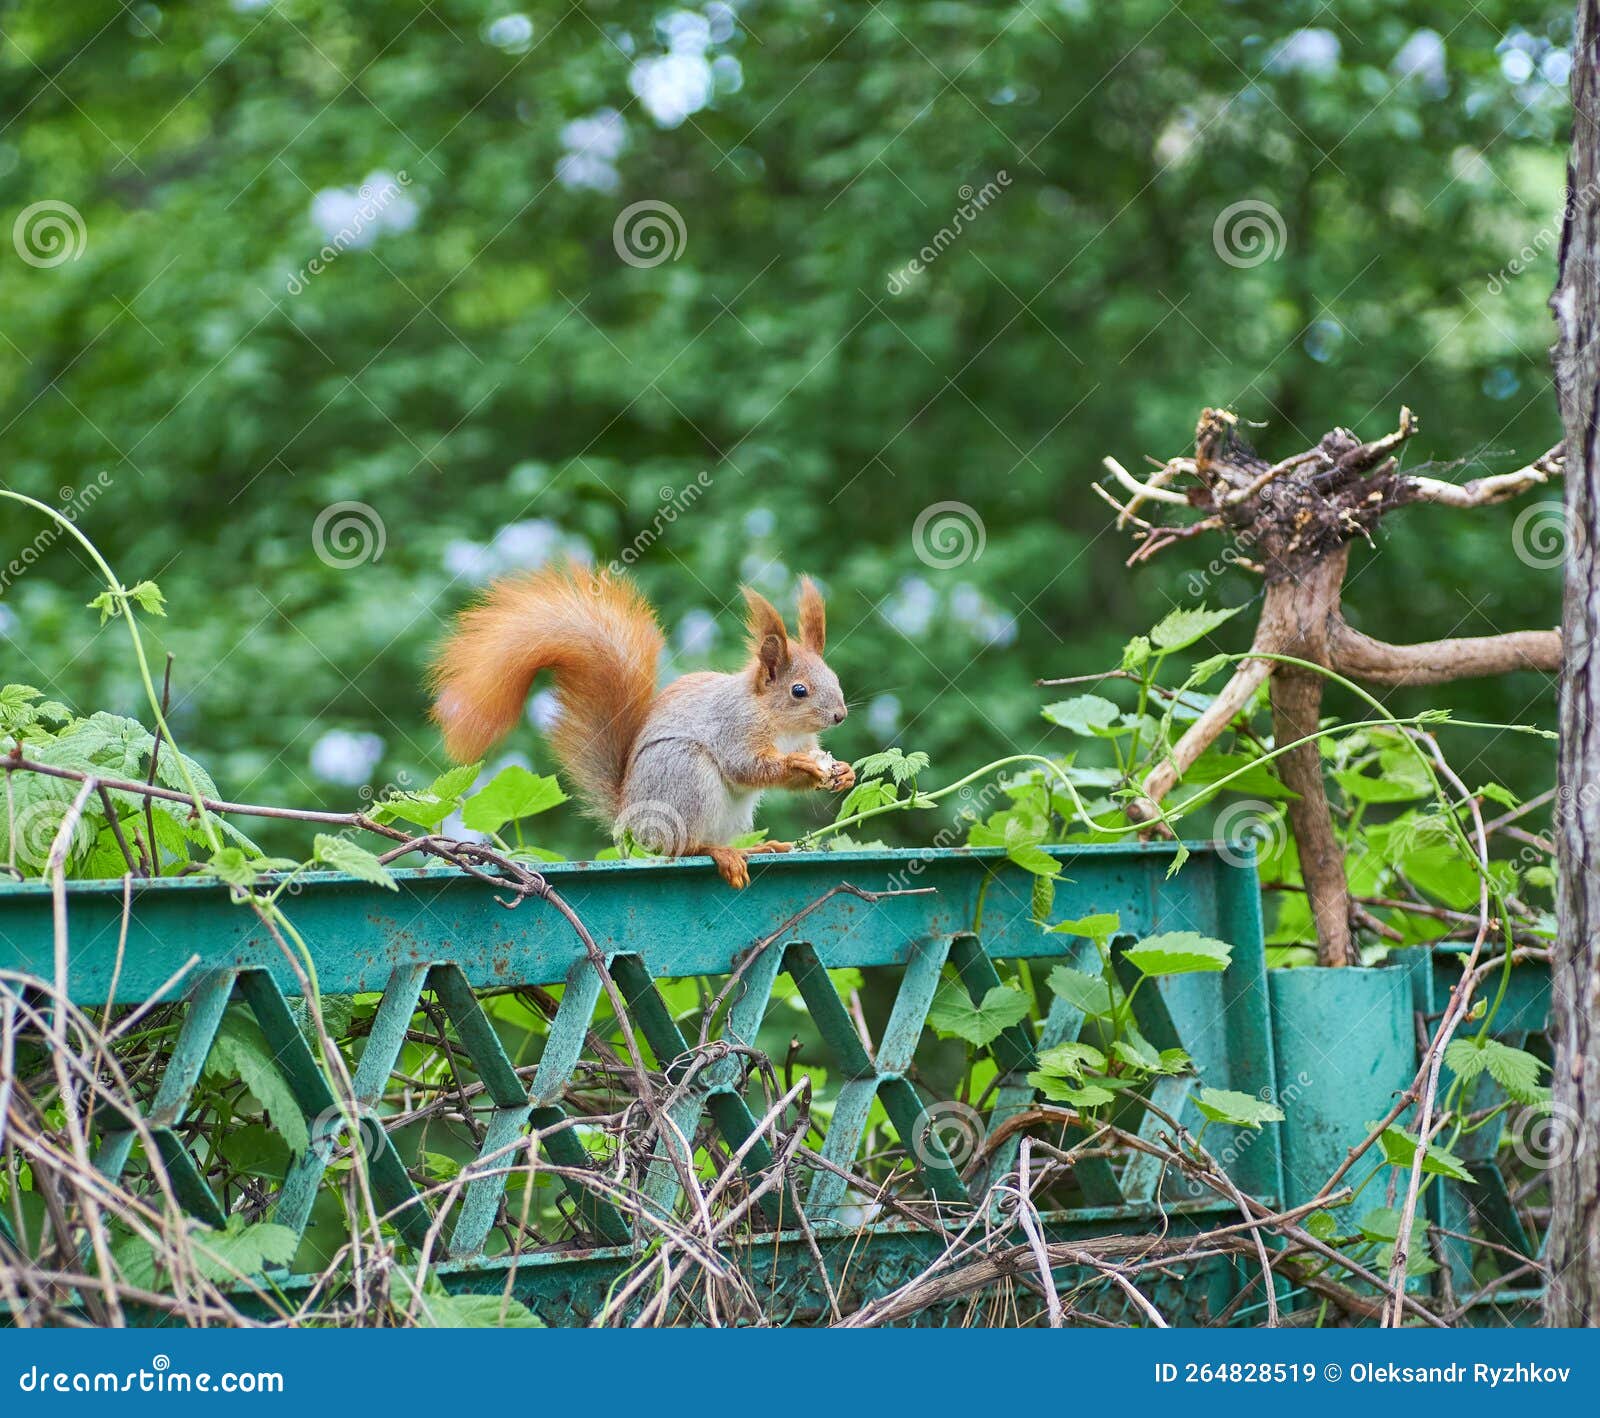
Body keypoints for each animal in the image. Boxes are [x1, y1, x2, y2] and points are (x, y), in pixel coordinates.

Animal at [428, 564, 856, 889]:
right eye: (799, 690)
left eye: (835, 677)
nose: (840, 716)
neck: (779, 722)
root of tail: (630, 813)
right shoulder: (734, 727)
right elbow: (746, 766)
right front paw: (801, 764)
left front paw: (843, 772)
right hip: (684, 778)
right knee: (681, 849)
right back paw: (721, 853)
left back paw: (754, 848)